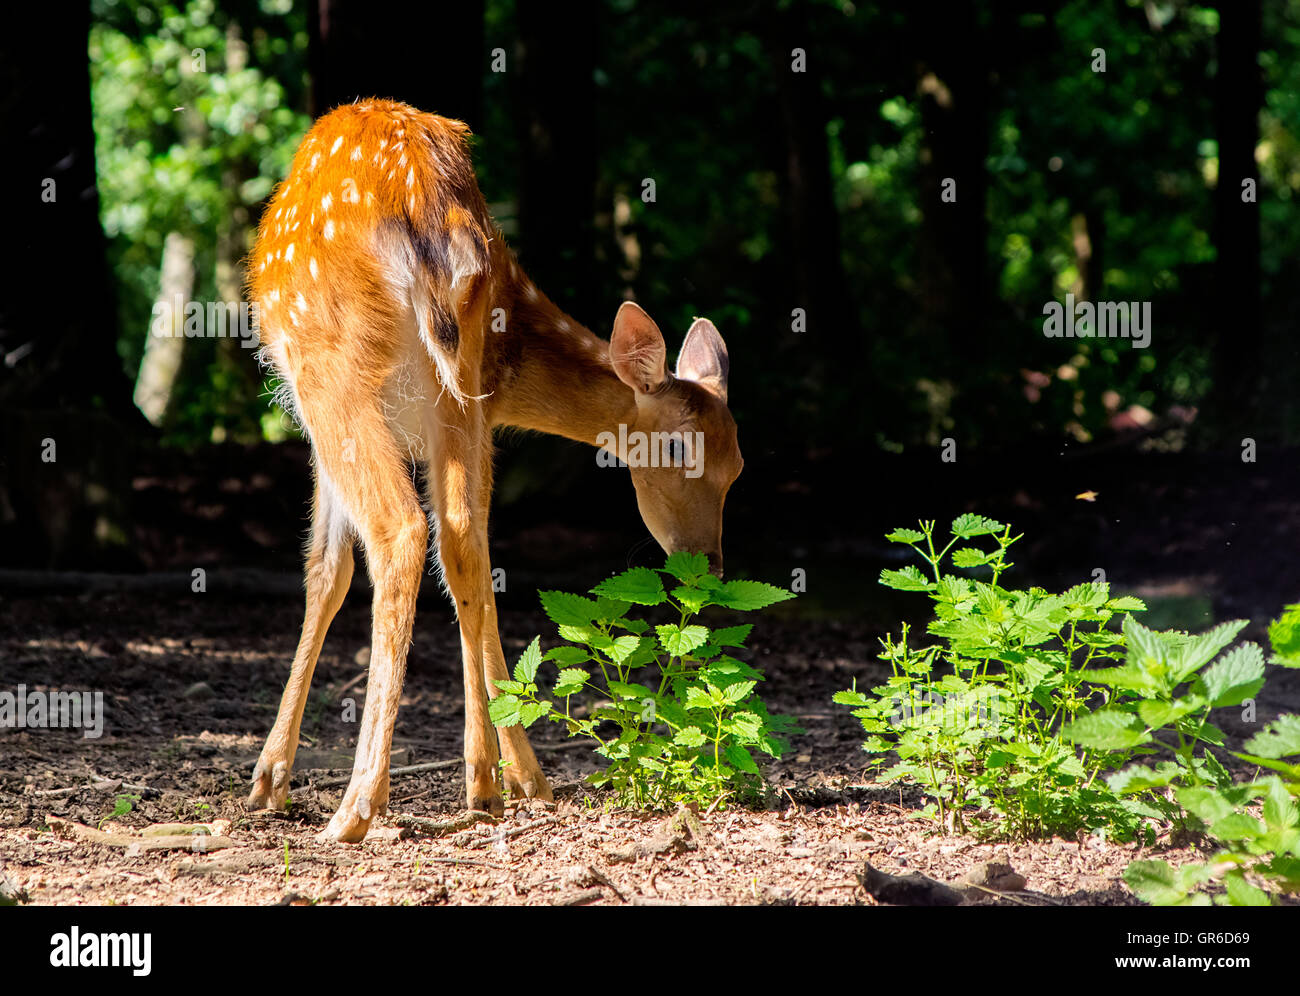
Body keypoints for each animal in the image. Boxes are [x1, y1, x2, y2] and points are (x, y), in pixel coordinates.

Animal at [244, 100, 742, 841]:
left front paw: (269, 777)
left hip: (328, 365)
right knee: (456, 535)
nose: (708, 566)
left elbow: (325, 571)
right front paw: (497, 781)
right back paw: (501, 779)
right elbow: (460, 561)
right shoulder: (480, 409)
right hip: (453, 376)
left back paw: (356, 807)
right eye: (694, 452)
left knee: (400, 529)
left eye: (735, 468)